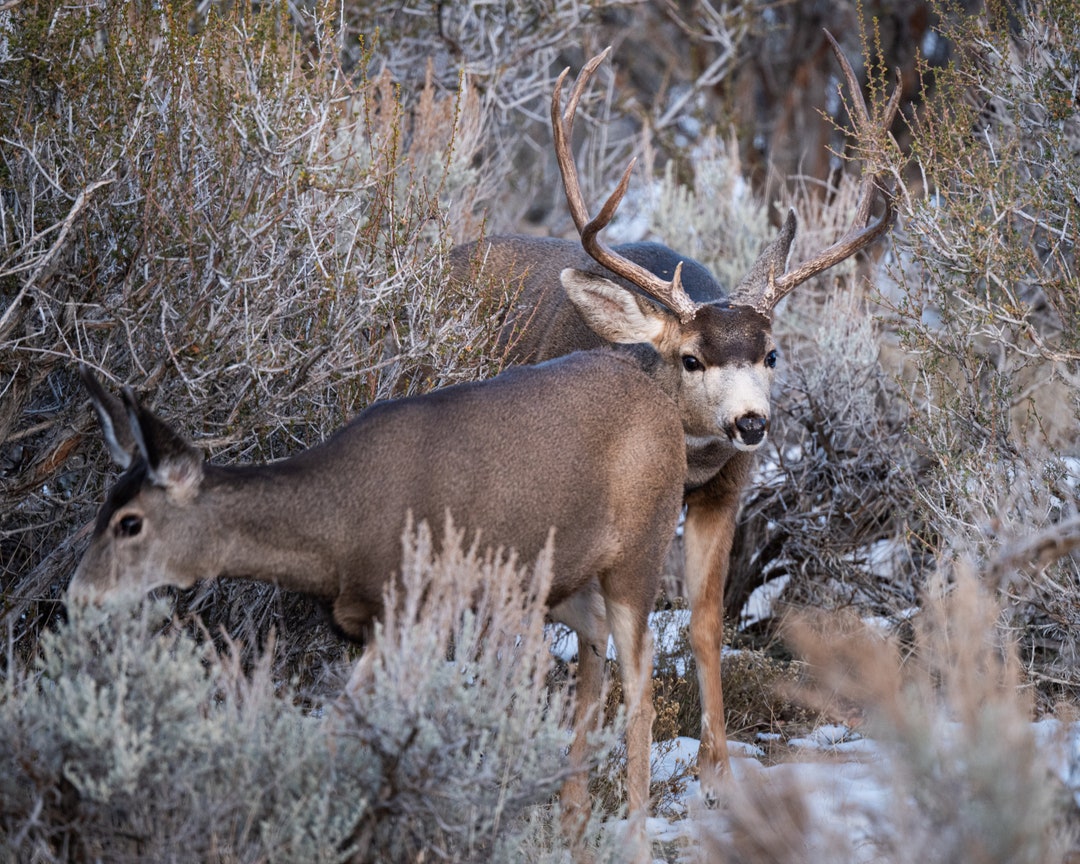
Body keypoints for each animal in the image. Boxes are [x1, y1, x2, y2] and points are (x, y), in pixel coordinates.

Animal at [67, 347, 687, 851]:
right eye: (103, 508)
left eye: (129, 523)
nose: (78, 595)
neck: (342, 532)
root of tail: (658, 386)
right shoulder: (372, 622)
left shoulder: (421, 606)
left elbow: (339, 726)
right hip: (557, 583)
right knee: (593, 641)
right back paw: (571, 819)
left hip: (641, 549)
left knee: (641, 672)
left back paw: (632, 836)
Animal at [449, 34, 900, 804]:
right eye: (691, 358)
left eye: (772, 352)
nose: (751, 422)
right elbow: (604, 633)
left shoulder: (725, 489)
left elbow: (705, 622)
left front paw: (716, 768)